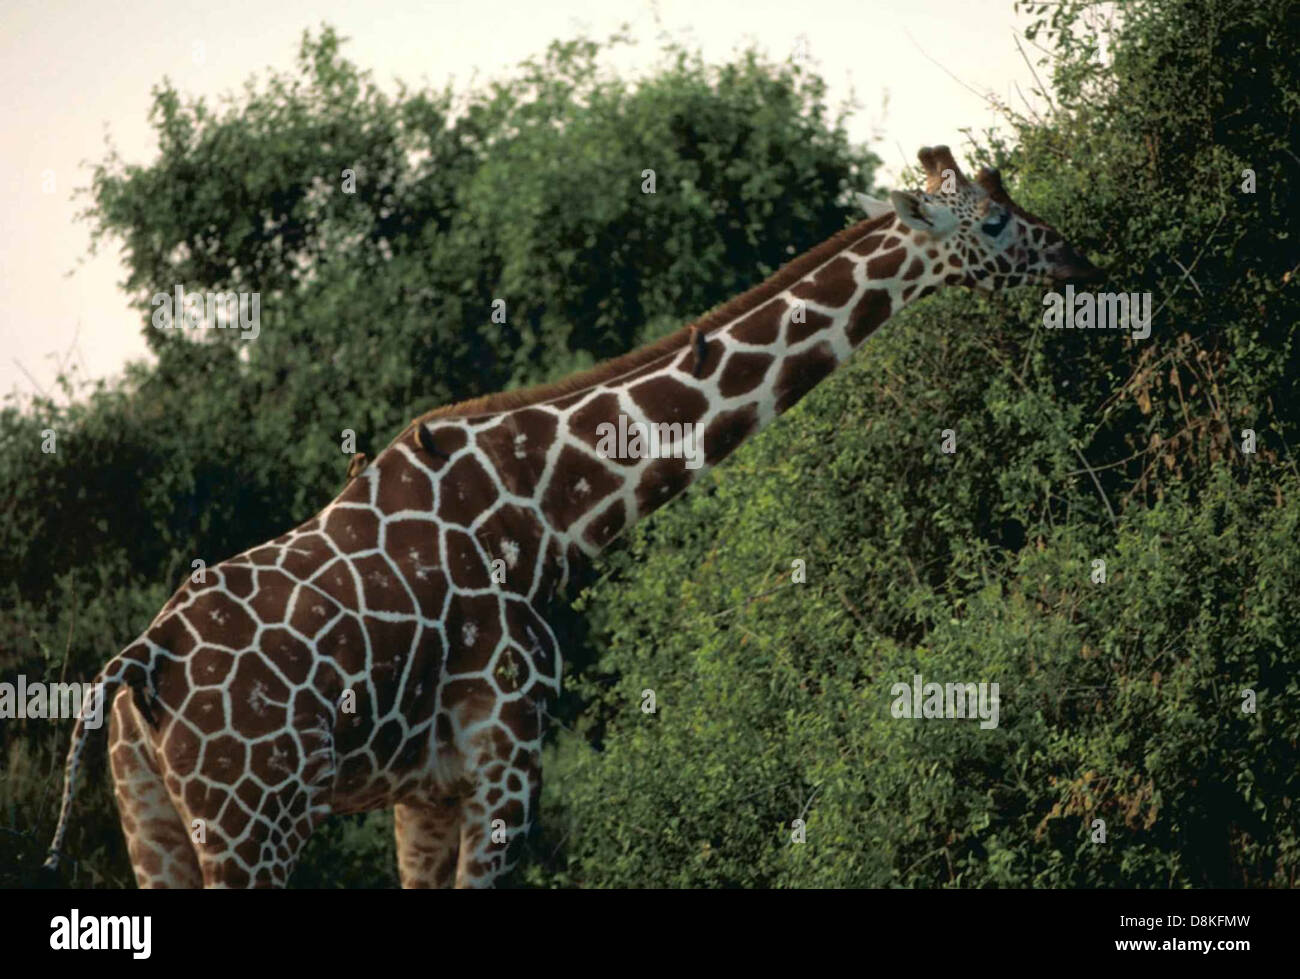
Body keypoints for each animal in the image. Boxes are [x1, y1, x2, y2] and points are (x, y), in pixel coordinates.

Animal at [45, 146, 1100, 888]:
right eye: (995, 221)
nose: (1077, 257)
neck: (547, 517)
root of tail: (133, 667)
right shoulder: (508, 757)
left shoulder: (427, 788)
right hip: (250, 816)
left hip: (153, 819)